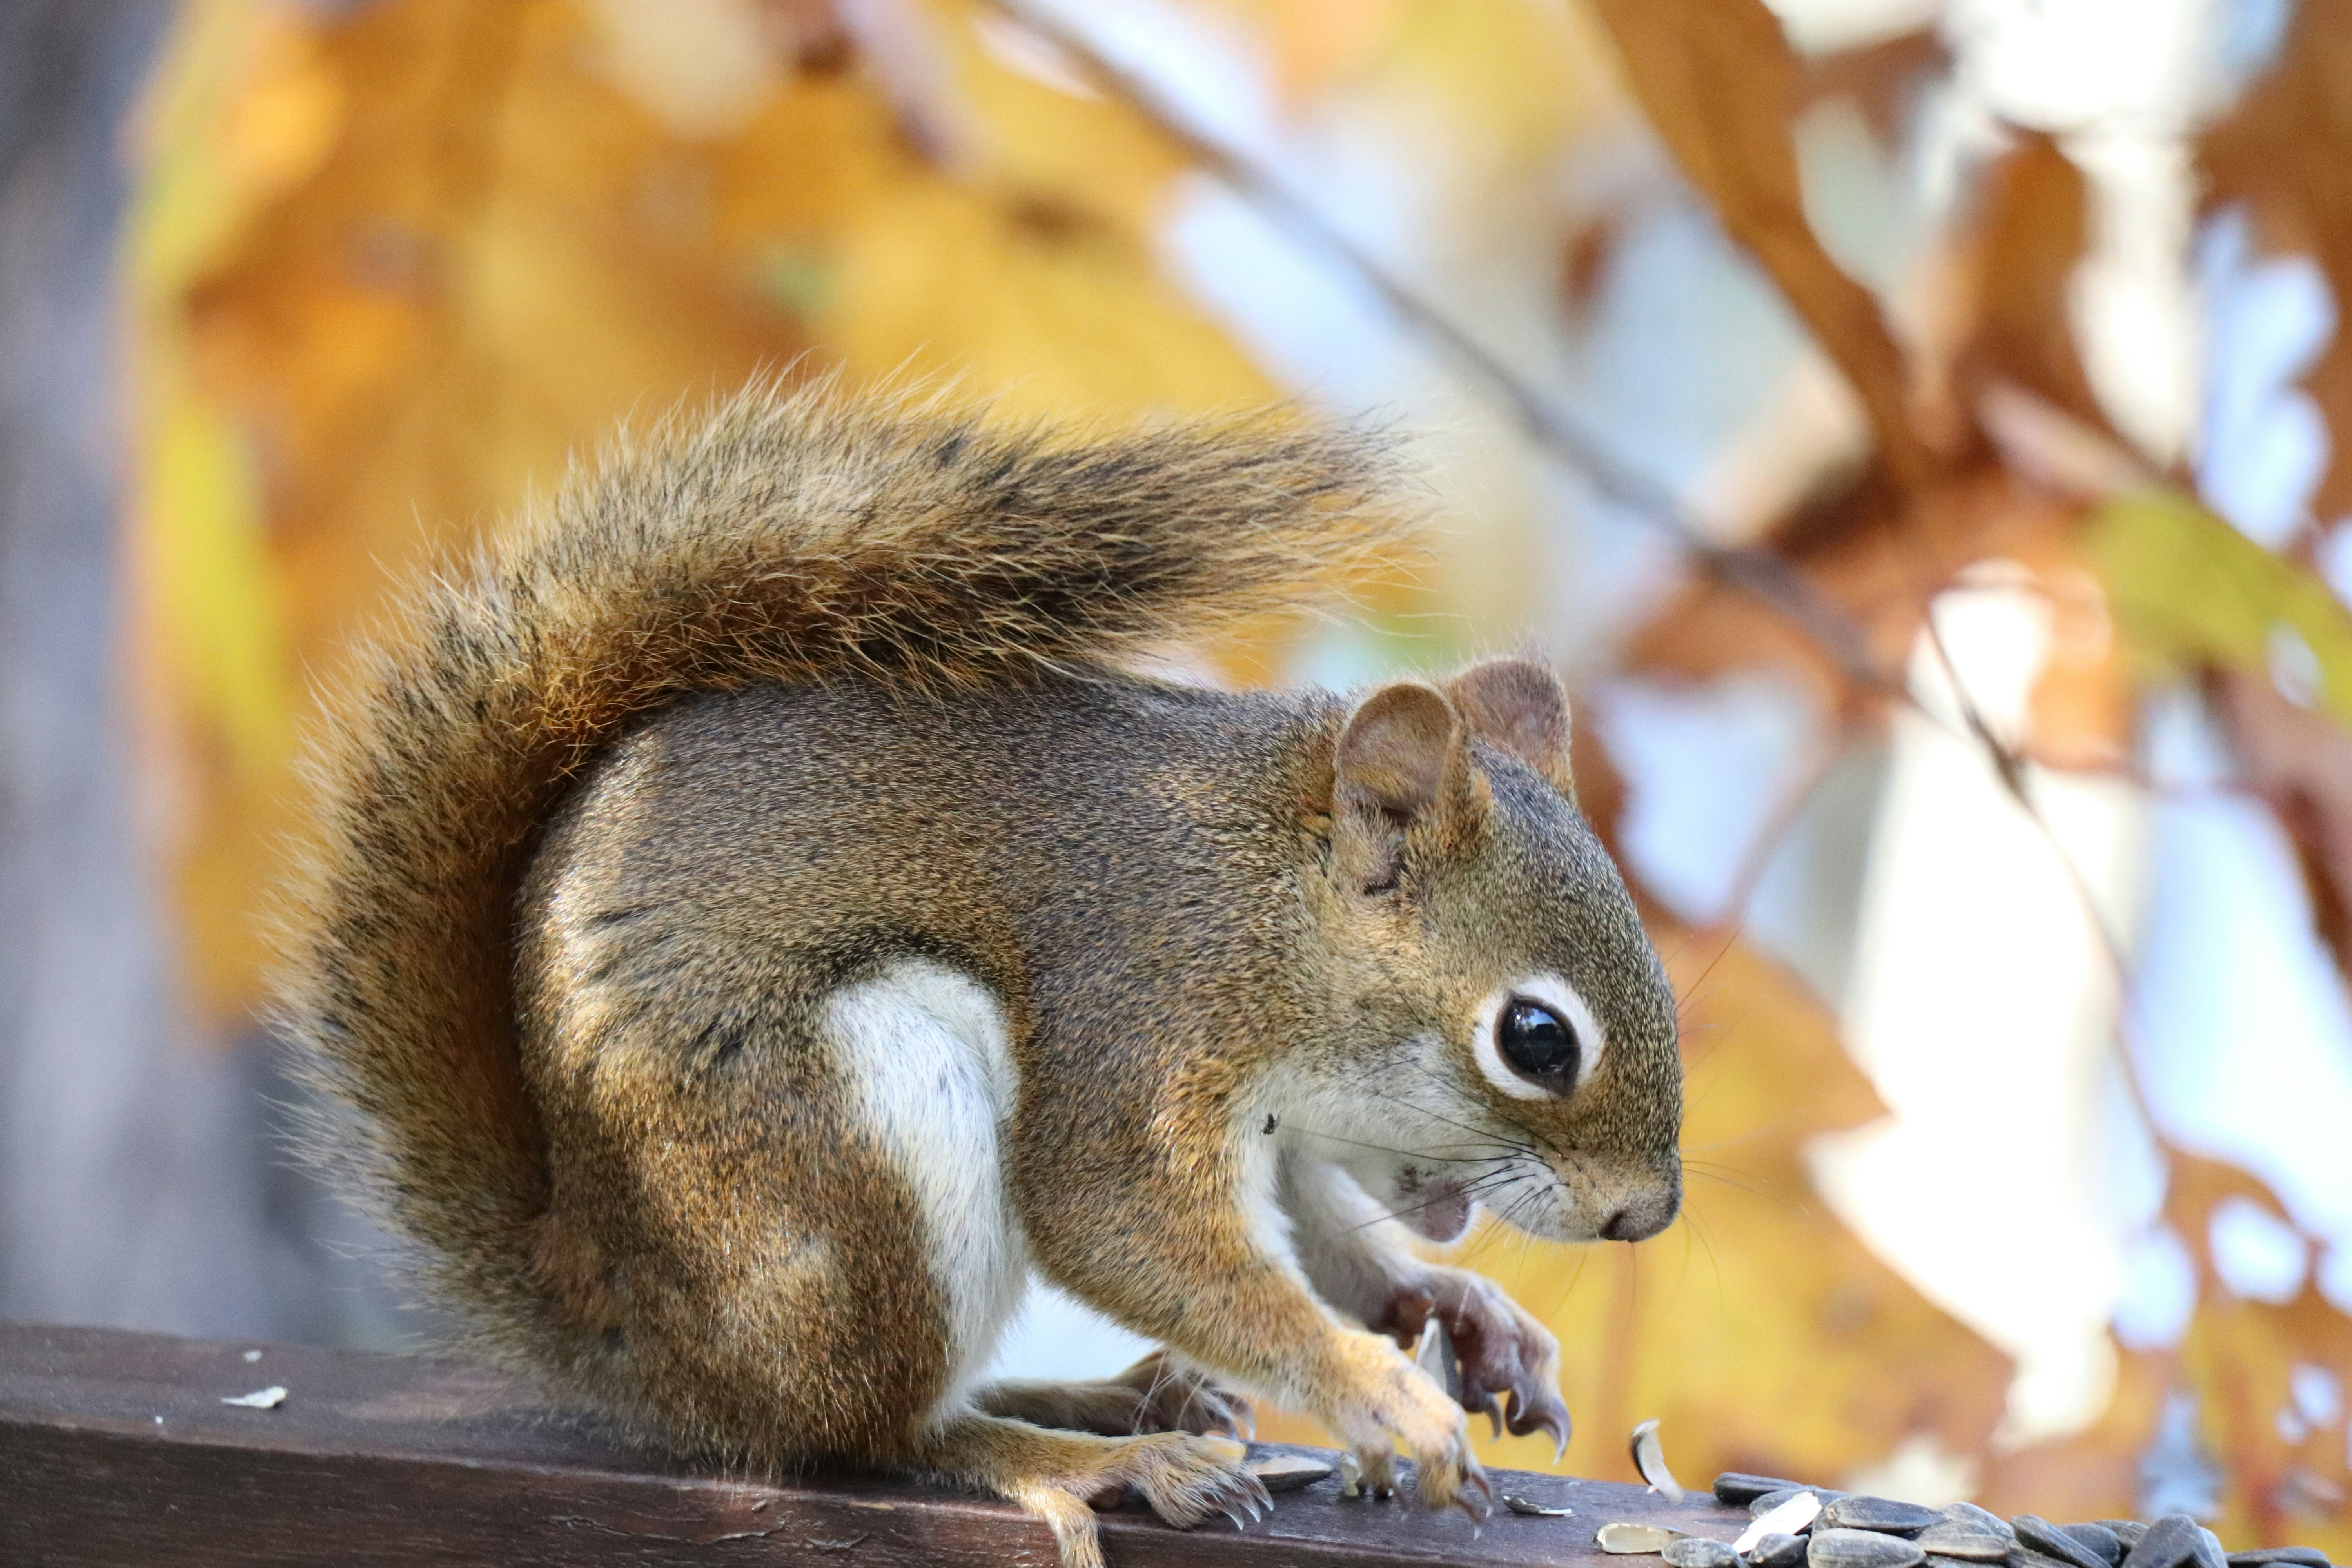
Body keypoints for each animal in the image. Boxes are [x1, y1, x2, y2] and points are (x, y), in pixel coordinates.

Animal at [270, 380, 1684, 1568]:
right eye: (1537, 1038)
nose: (1646, 1218)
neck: (1267, 910)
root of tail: (618, 1312)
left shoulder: (1285, 1130)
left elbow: (1327, 1233)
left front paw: (1471, 1320)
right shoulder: (1139, 1021)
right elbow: (1122, 1227)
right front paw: (1381, 1394)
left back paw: (1124, 1394)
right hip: (852, 1157)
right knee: (870, 1435)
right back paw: (1090, 1455)